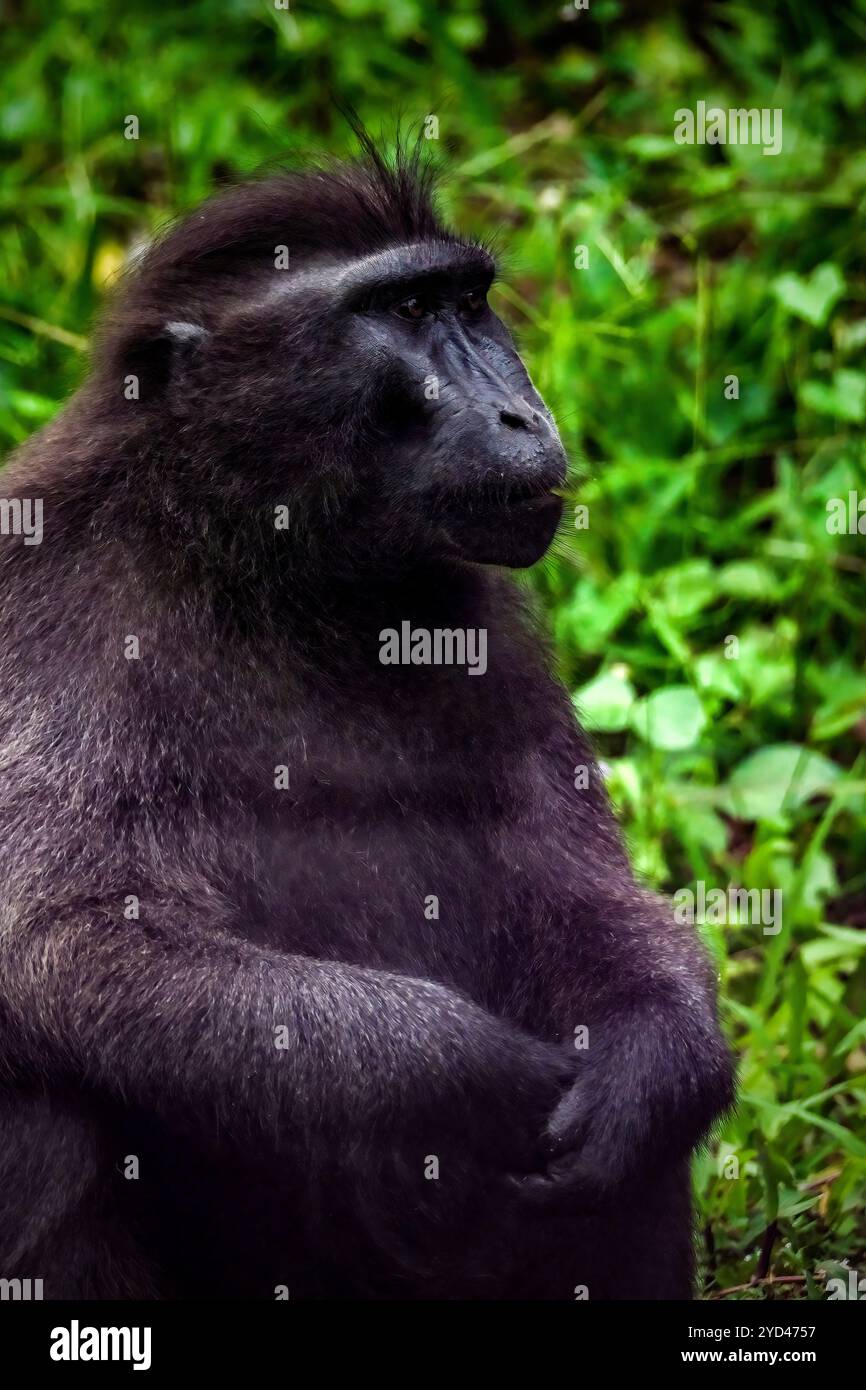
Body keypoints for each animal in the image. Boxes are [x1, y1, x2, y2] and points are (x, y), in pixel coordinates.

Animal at [0, 130, 734, 1301]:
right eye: (402, 311)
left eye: (470, 304)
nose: (522, 415)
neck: (261, 565)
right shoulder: (42, 607)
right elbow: (59, 942)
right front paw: (476, 1072)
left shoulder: (483, 624)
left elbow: (581, 907)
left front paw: (653, 1060)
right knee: (42, 1107)